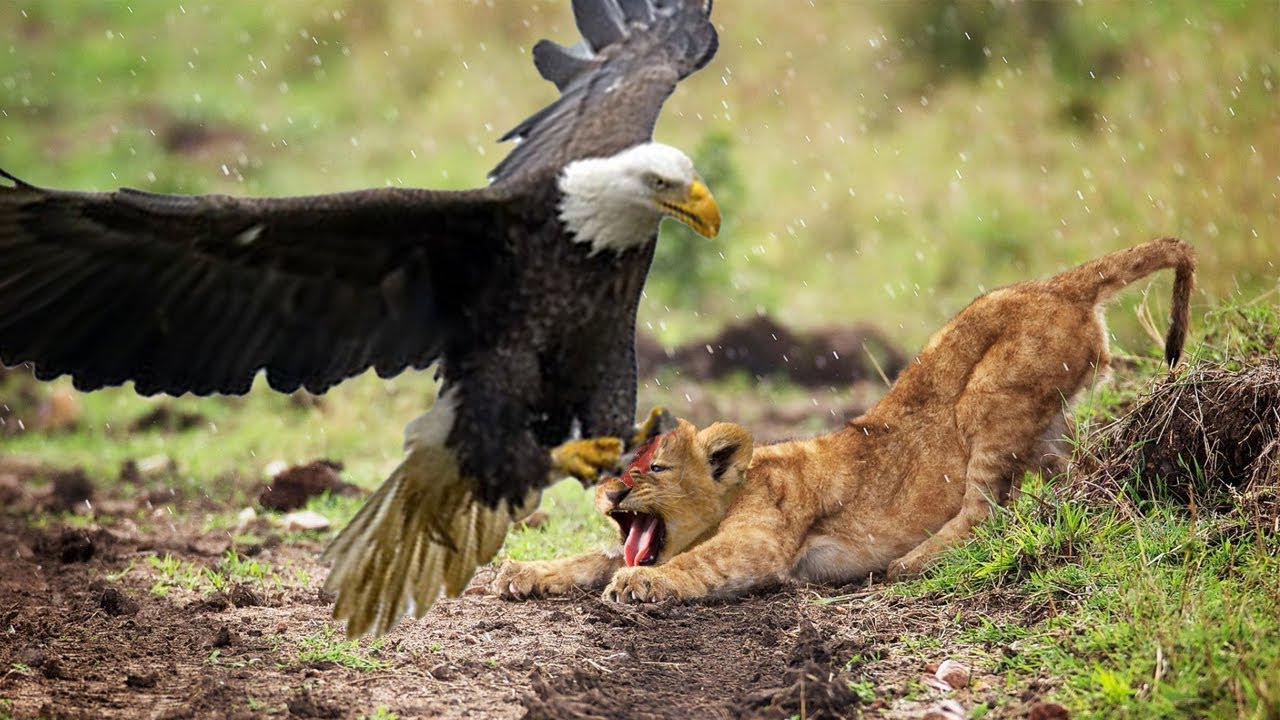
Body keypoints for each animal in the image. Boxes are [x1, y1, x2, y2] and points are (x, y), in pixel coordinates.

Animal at [495, 238, 1195, 603]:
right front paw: (526, 573)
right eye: (615, 467)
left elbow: (695, 565)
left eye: (656, 469)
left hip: (992, 394)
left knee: (985, 507)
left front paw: (642, 584)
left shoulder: (762, 542)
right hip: (1049, 423)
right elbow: (592, 555)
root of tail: (1059, 285)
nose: (611, 493)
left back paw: (910, 564)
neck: (736, 489)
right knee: (1074, 476)